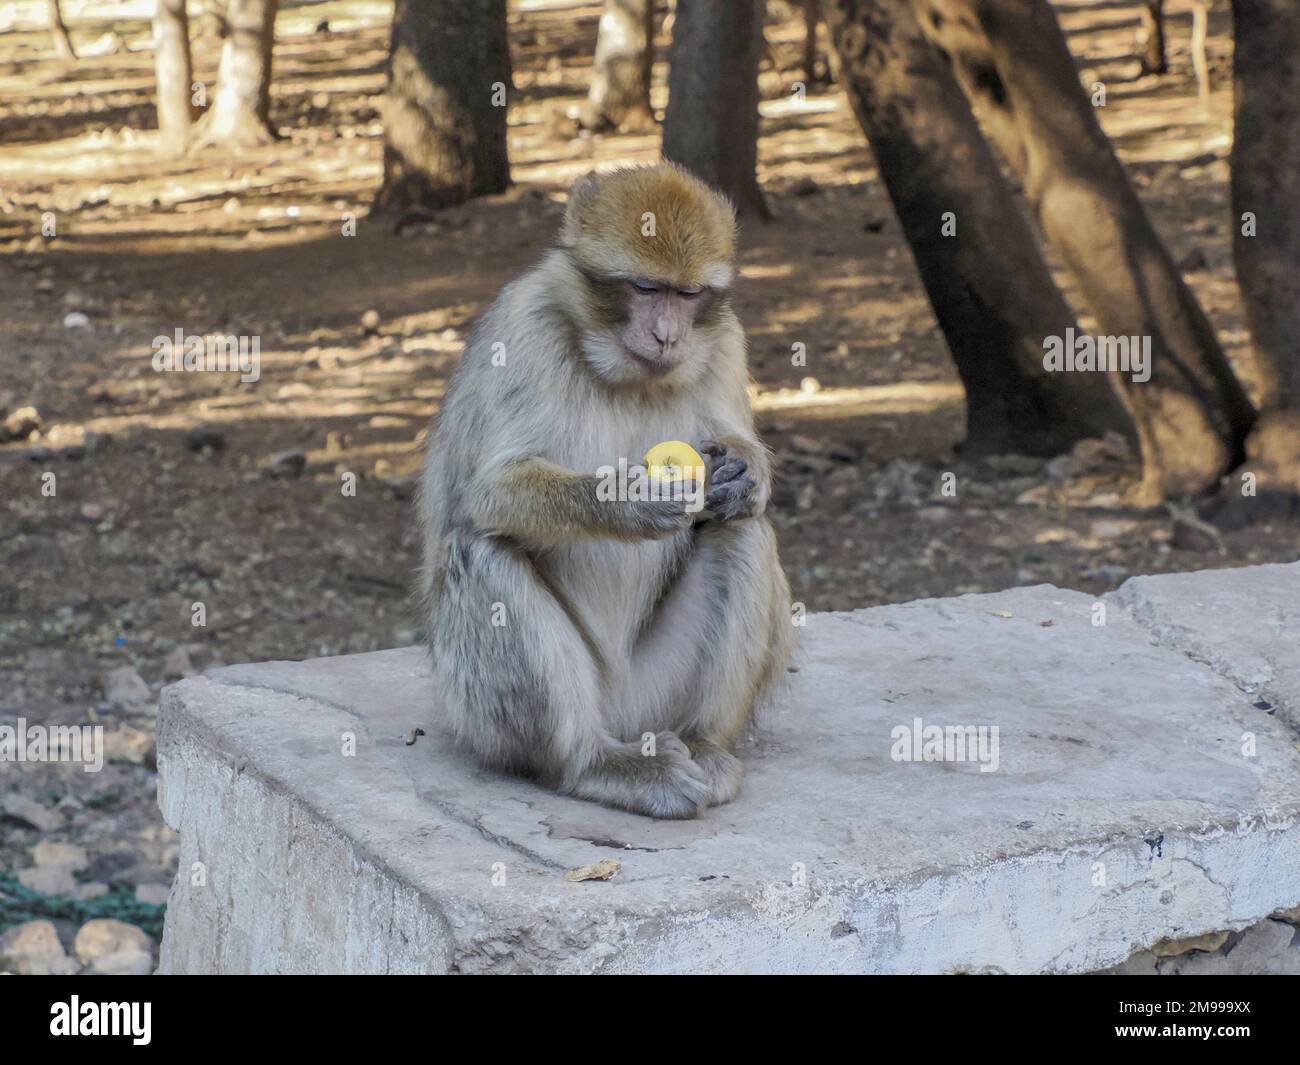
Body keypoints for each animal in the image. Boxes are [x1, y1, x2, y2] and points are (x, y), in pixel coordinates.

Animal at [419, 162, 793, 819]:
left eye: (687, 295)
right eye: (645, 289)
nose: (668, 336)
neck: (628, 374)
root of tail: (619, 716)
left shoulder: (726, 338)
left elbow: (738, 470)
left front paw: (745, 472)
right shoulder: (525, 328)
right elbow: (489, 493)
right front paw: (627, 500)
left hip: (655, 694)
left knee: (742, 532)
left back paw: (704, 743)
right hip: (483, 713)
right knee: (482, 549)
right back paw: (592, 764)